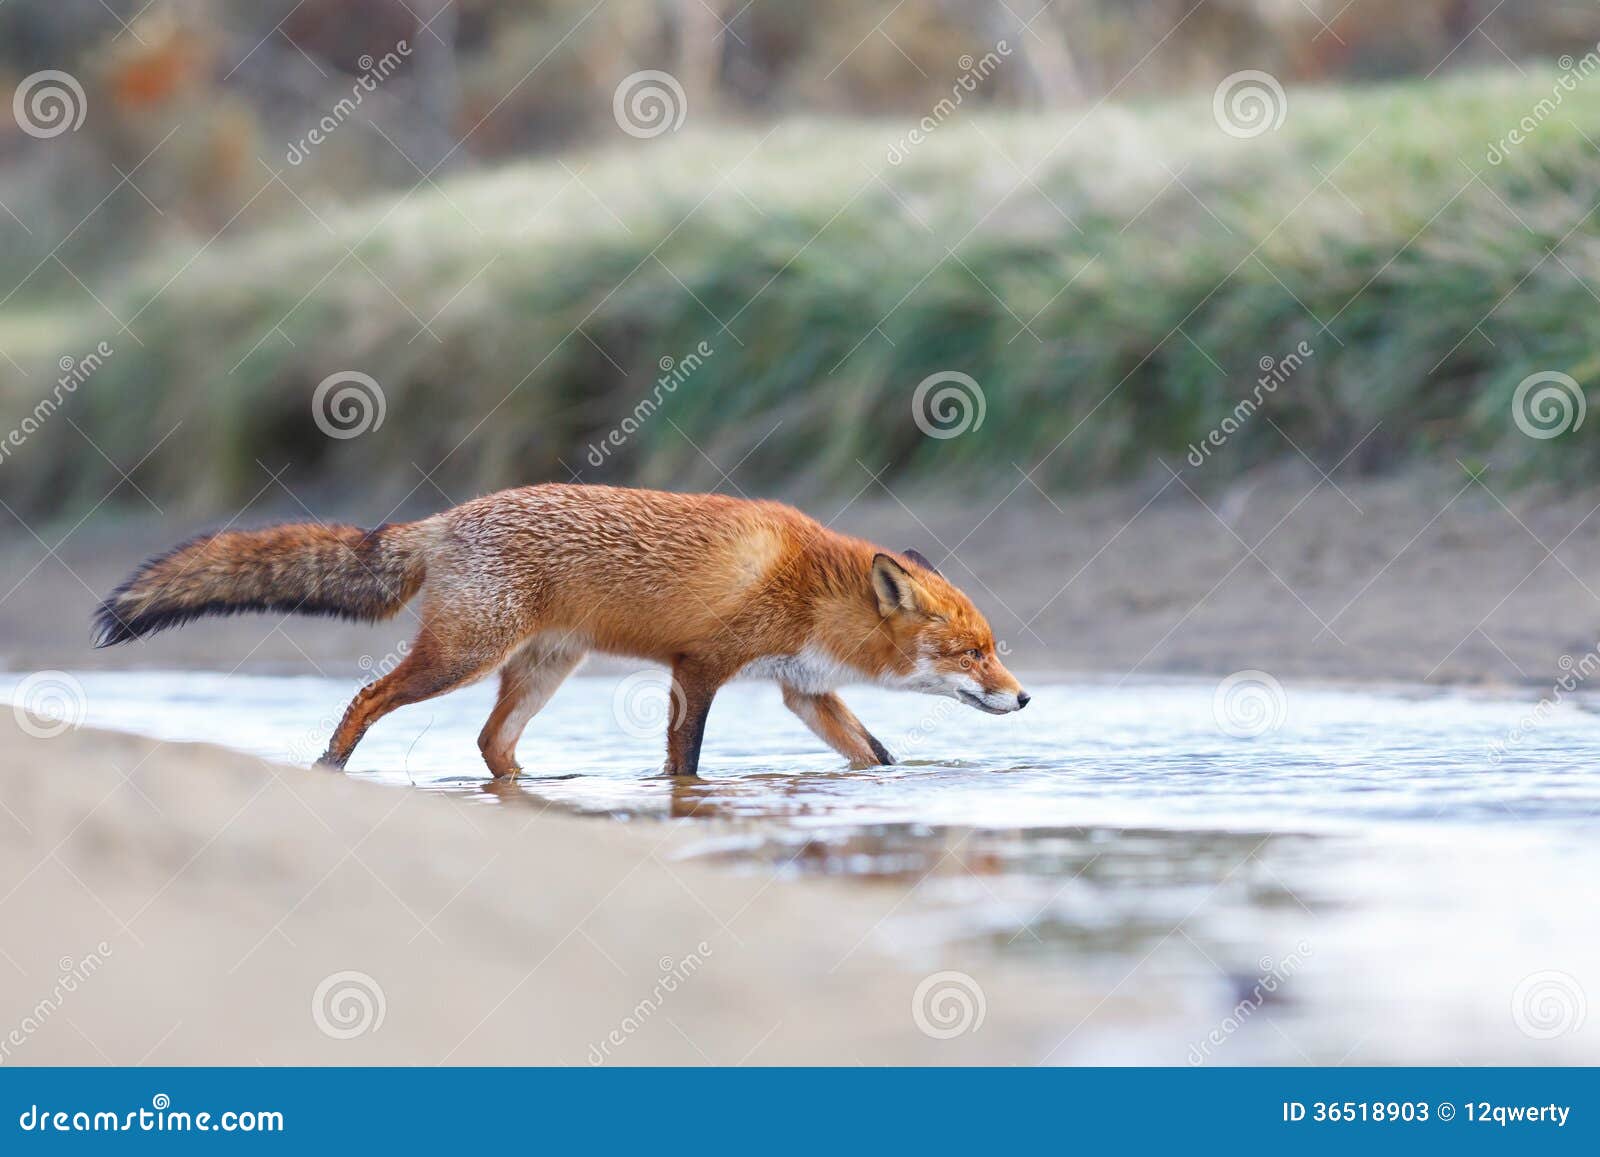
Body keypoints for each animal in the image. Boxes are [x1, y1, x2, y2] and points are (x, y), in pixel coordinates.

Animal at [93, 483, 1029, 778]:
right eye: (974, 652)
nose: (1023, 698)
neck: (809, 586)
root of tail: (439, 521)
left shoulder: (805, 692)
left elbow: (877, 755)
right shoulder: (699, 667)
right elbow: (685, 761)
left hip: (541, 669)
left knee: (491, 743)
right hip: (462, 657)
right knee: (366, 695)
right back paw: (331, 765)